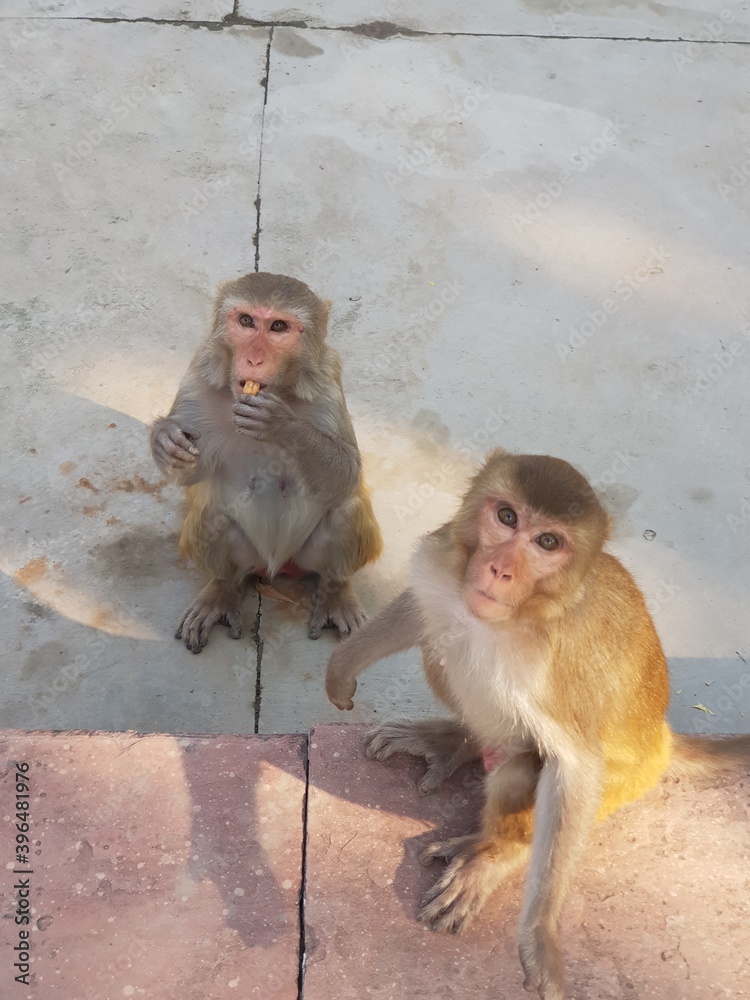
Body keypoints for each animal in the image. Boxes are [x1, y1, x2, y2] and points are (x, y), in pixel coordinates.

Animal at [150, 272, 382, 653]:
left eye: (278, 327)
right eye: (246, 321)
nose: (255, 360)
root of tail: (276, 568)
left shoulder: (326, 383)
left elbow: (347, 475)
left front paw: (281, 424)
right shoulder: (198, 377)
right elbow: (191, 475)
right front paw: (165, 440)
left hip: (305, 558)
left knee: (346, 510)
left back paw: (336, 592)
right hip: (250, 558)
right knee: (210, 516)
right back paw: (220, 589)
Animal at [326, 449, 750, 1000]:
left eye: (548, 542)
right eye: (507, 517)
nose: (500, 569)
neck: (518, 616)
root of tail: (660, 740)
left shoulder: (557, 668)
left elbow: (574, 767)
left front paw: (538, 934)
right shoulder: (444, 568)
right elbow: (421, 610)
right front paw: (342, 667)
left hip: (622, 784)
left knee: (524, 767)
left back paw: (496, 852)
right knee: (446, 644)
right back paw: (459, 740)